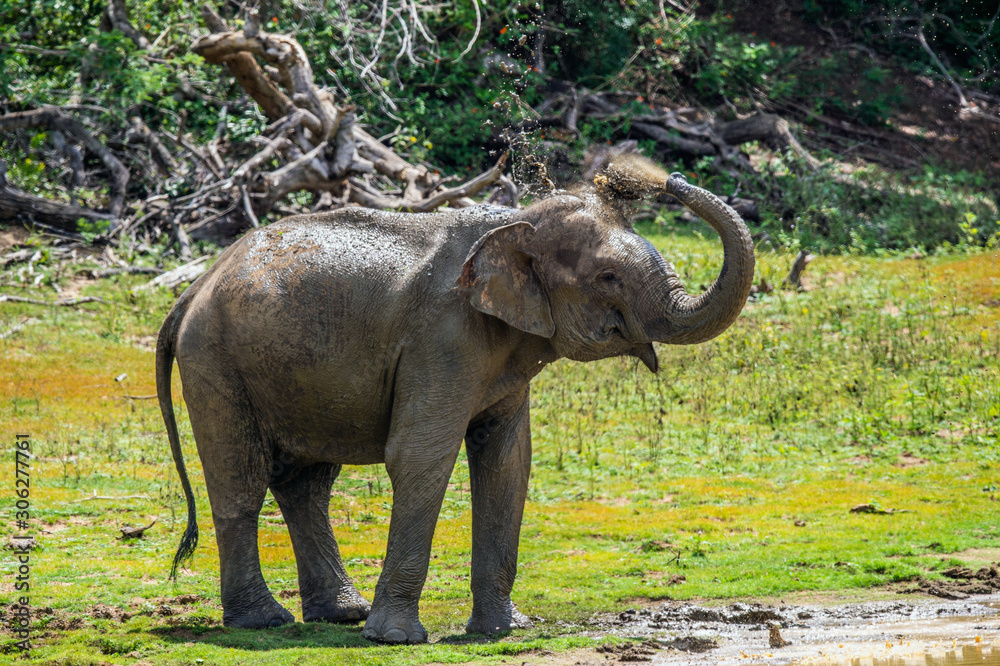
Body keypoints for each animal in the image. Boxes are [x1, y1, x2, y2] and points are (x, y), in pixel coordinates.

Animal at [156, 155, 755, 644]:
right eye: (609, 276)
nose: (657, 176)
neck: (515, 222)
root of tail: (192, 289)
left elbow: (508, 461)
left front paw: (503, 631)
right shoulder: (441, 338)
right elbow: (421, 454)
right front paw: (397, 640)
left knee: (307, 484)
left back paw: (340, 614)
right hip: (216, 362)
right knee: (241, 481)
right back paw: (264, 622)